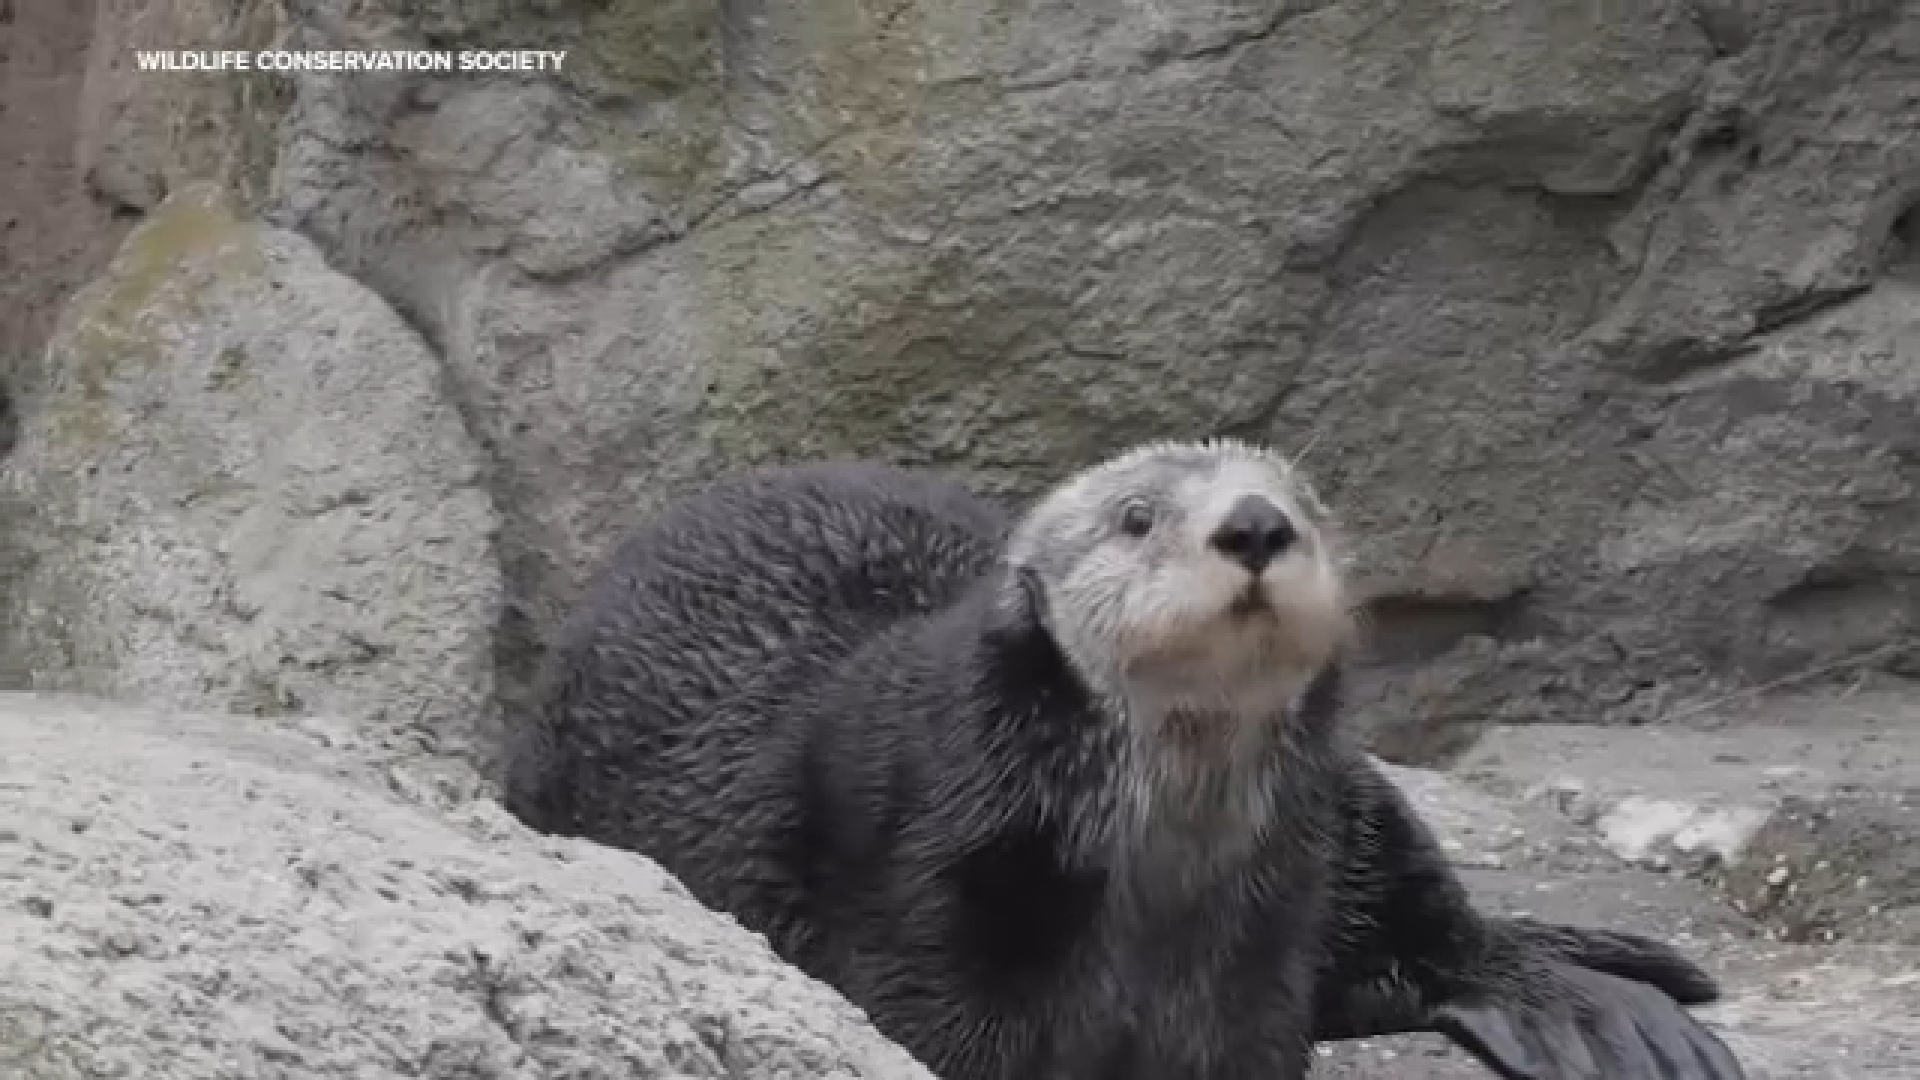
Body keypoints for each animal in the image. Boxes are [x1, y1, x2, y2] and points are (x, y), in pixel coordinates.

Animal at [504, 441, 1744, 1080]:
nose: (1255, 527)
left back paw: (1602, 1015)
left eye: (1303, 505)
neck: (1167, 879)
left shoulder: (1267, 927)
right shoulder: (930, 889)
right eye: (1138, 516)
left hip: (1353, 801)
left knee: (1448, 932)